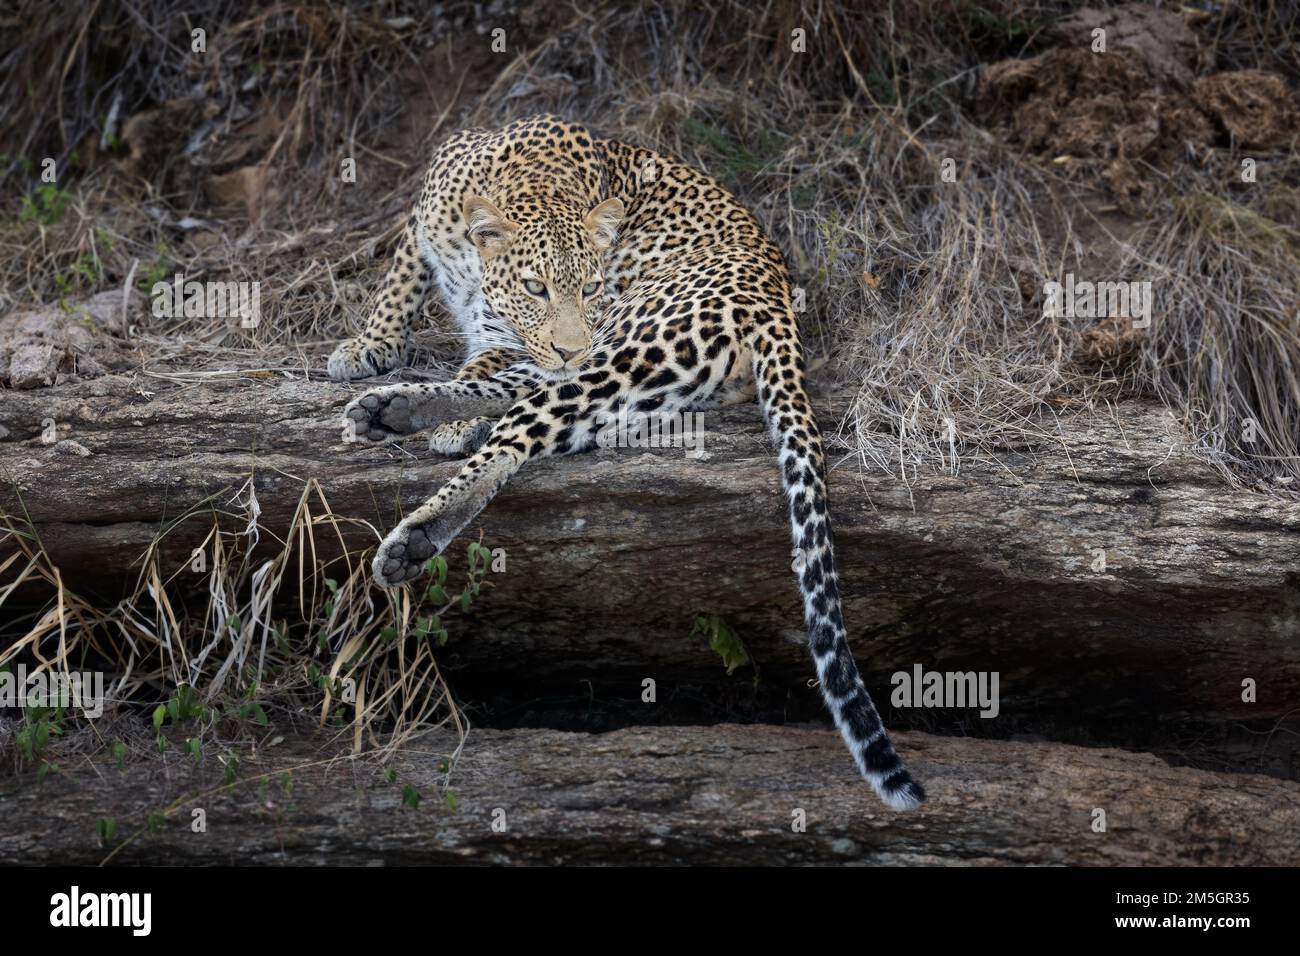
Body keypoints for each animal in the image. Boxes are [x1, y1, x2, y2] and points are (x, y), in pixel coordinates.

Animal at [328, 114, 925, 811]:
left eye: (590, 286)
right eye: (535, 287)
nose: (570, 342)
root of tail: (776, 308)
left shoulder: (538, 335)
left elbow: (482, 355)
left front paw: (437, 409)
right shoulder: (438, 237)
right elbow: (404, 280)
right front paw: (373, 343)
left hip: (627, 349)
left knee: (515, 430)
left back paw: (414, 532)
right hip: (624, 378)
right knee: (526, 402)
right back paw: (392, 410)